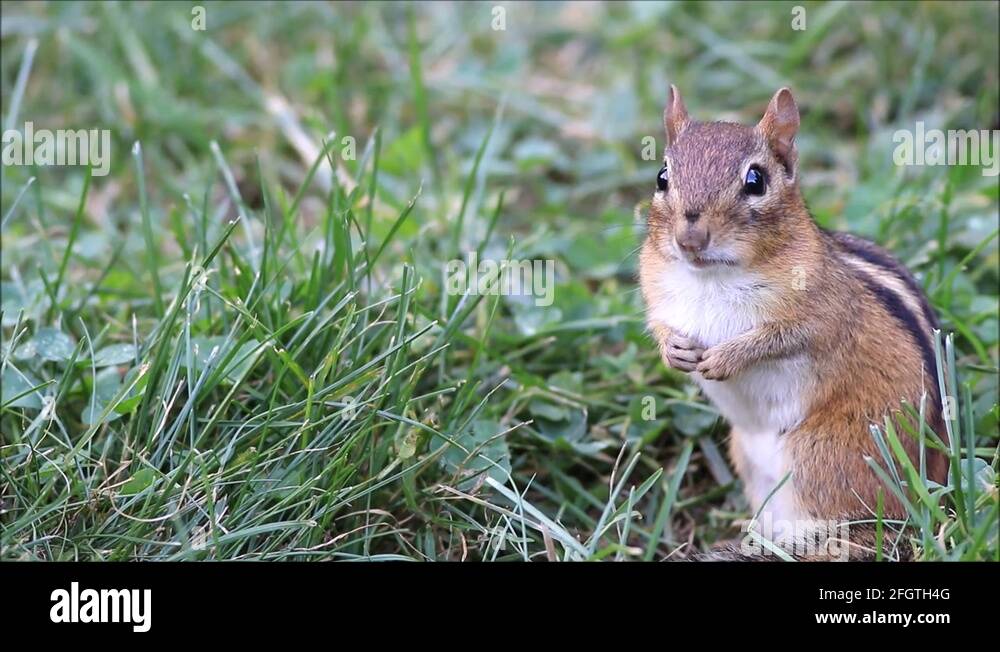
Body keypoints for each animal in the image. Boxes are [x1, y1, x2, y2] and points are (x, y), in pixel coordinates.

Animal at [639, 86, 948, 561]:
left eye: (756, 181)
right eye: (661, 176)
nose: (690, 239)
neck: (712, 276)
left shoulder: (820, 315)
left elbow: (776, 338)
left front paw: (726, 359)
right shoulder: (658, 298)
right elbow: (662, 328)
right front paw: (676, 351)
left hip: (819, 456)